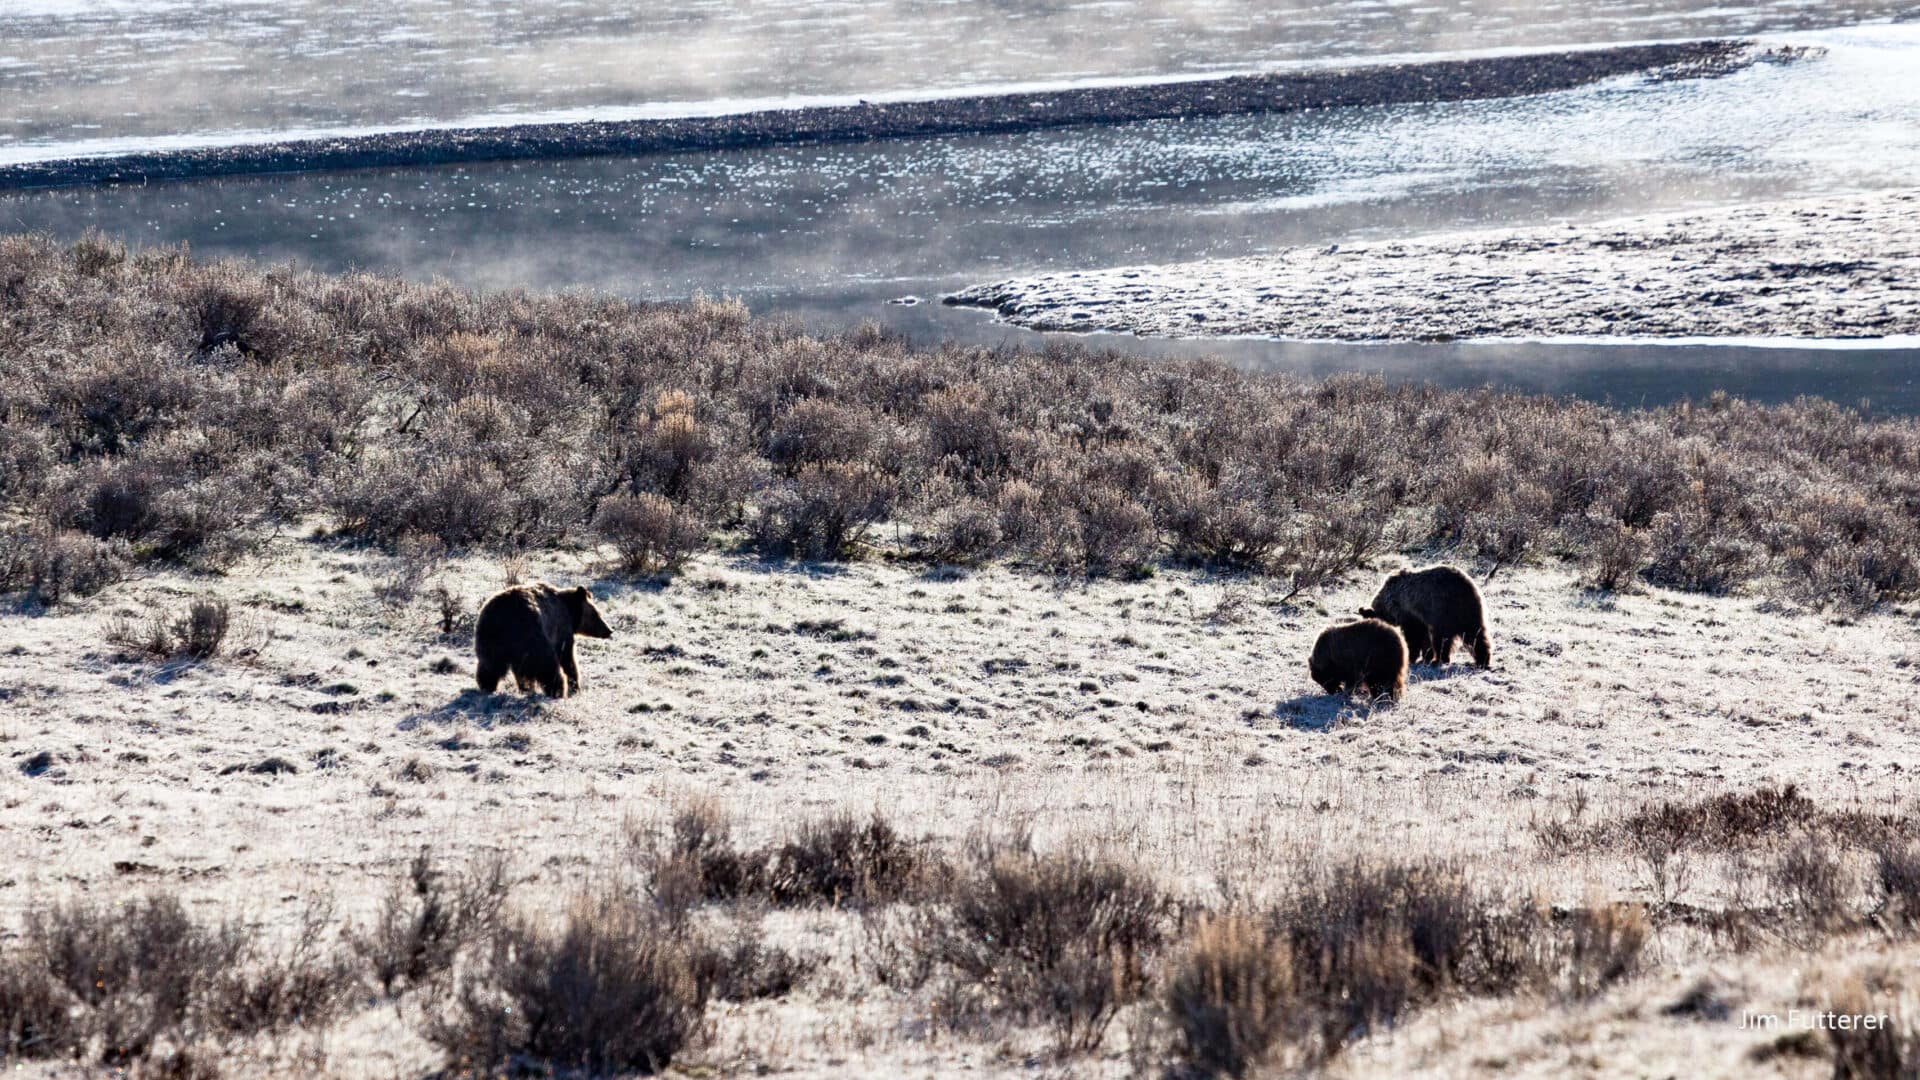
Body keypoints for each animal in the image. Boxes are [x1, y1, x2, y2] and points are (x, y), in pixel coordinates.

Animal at [474, 583, 613, 698]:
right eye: (597, 614)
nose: (609, 630)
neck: (570, 612)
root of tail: (503, 617)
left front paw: (526, 688)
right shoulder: (561, 630)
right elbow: (568, 657)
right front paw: (575, 686)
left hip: (490, 638)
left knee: (489, 665)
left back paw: (487, 686)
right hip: (531, 633)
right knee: (546, 664)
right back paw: (557, 690)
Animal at [1360, 565, 1490, 668]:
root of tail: (1464, 587)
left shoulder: (1410, 611)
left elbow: (1414, 636)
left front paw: (1412, 656)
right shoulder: (1421, 616)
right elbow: (1424, 637)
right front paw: (1426, 656)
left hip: (1444, 609)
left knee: (1441, 638)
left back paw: (1439, 659)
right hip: (1470, 610)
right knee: (1476, 635)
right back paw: (1482, 660)